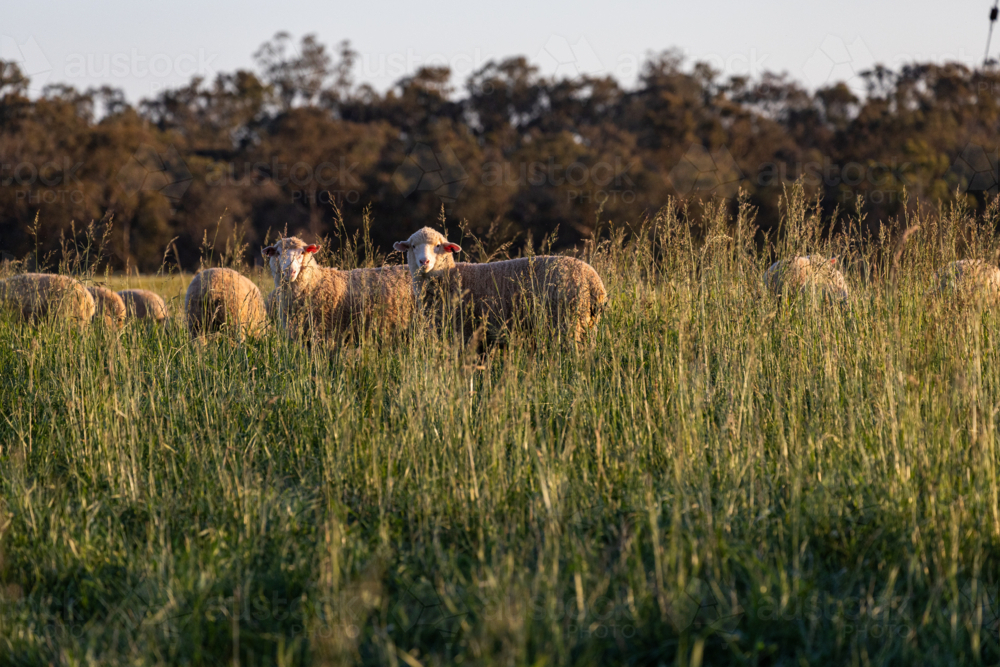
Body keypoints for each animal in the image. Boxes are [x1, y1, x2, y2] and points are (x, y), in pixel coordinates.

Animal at [393, 227, 607, 345]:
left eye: (438, 246)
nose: (424, 262)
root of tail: (594, 280)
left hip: (568, 321)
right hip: (589, 323)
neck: (451, 276)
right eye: (412, 246)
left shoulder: (464, 332)